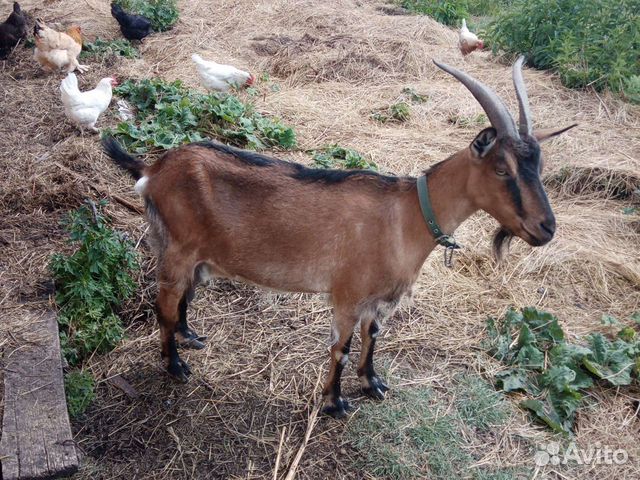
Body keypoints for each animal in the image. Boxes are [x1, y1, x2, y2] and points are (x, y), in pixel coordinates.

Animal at [102, 57, 576, 418]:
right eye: (502, 169)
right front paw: (334, 403)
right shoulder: (347, 297)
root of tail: (153, 169)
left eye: (539, 165)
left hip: (199, 257)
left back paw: (190, 336)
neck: (406, 215)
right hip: (176, 248)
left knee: (183, 298)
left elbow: (373, 338)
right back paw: (175, 365)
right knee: (163, 303)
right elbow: (341, 350)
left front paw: (373, 383)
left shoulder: (376, 300)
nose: (546, 228)